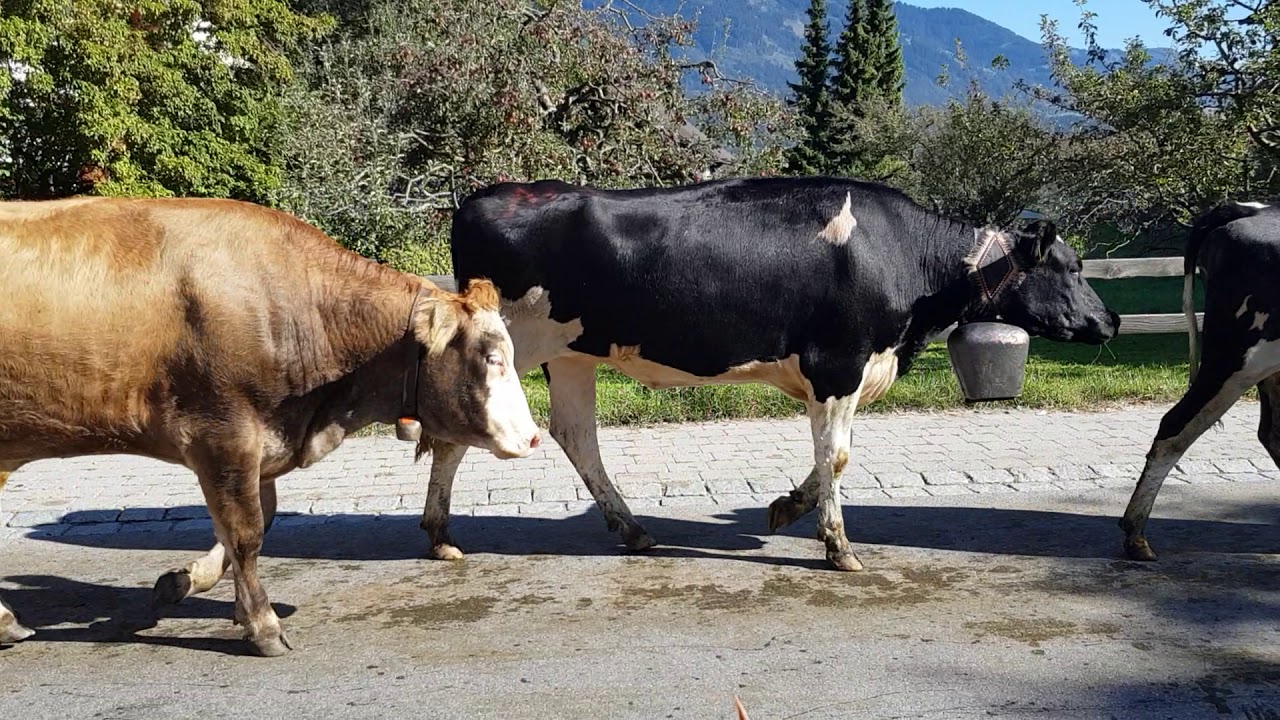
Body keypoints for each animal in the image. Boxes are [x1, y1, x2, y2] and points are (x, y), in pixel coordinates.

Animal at [0, 197, 540, 656]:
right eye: (492, 358)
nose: (534, 436)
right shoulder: (223, 436)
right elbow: (246, 532)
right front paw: (262, 625)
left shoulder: (261, 445)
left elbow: (255, 520)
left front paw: (187, 580)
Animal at [420, 176, 1120, 572]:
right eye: (1072, 266)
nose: (1110, 319)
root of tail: (484, 195)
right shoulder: (838, 360)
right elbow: (837, 456)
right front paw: (839, 547)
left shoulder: (847, 370)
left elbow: (827, 458)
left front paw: (786, 507)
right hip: (515, 342)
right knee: (458, 429)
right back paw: (440, 535)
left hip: (572, 354)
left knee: (576, 434)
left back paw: (633, 530)